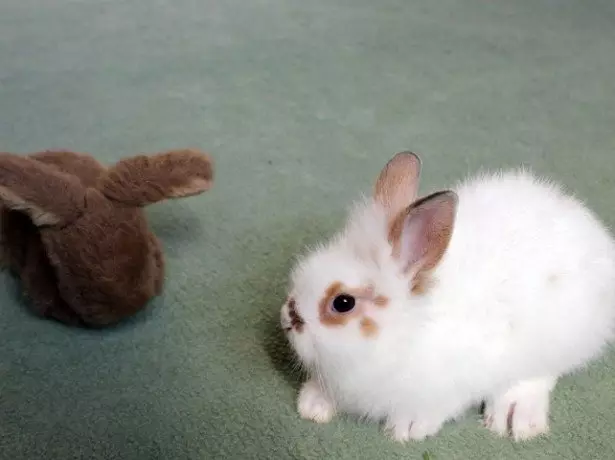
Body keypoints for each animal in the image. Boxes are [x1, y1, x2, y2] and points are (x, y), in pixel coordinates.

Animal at [282, 152, 615, 442]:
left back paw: (513, 416)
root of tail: (598, 238)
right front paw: (313, 405)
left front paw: (408, 428)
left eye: (343, 303)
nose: (288, 317)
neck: (403, 331)